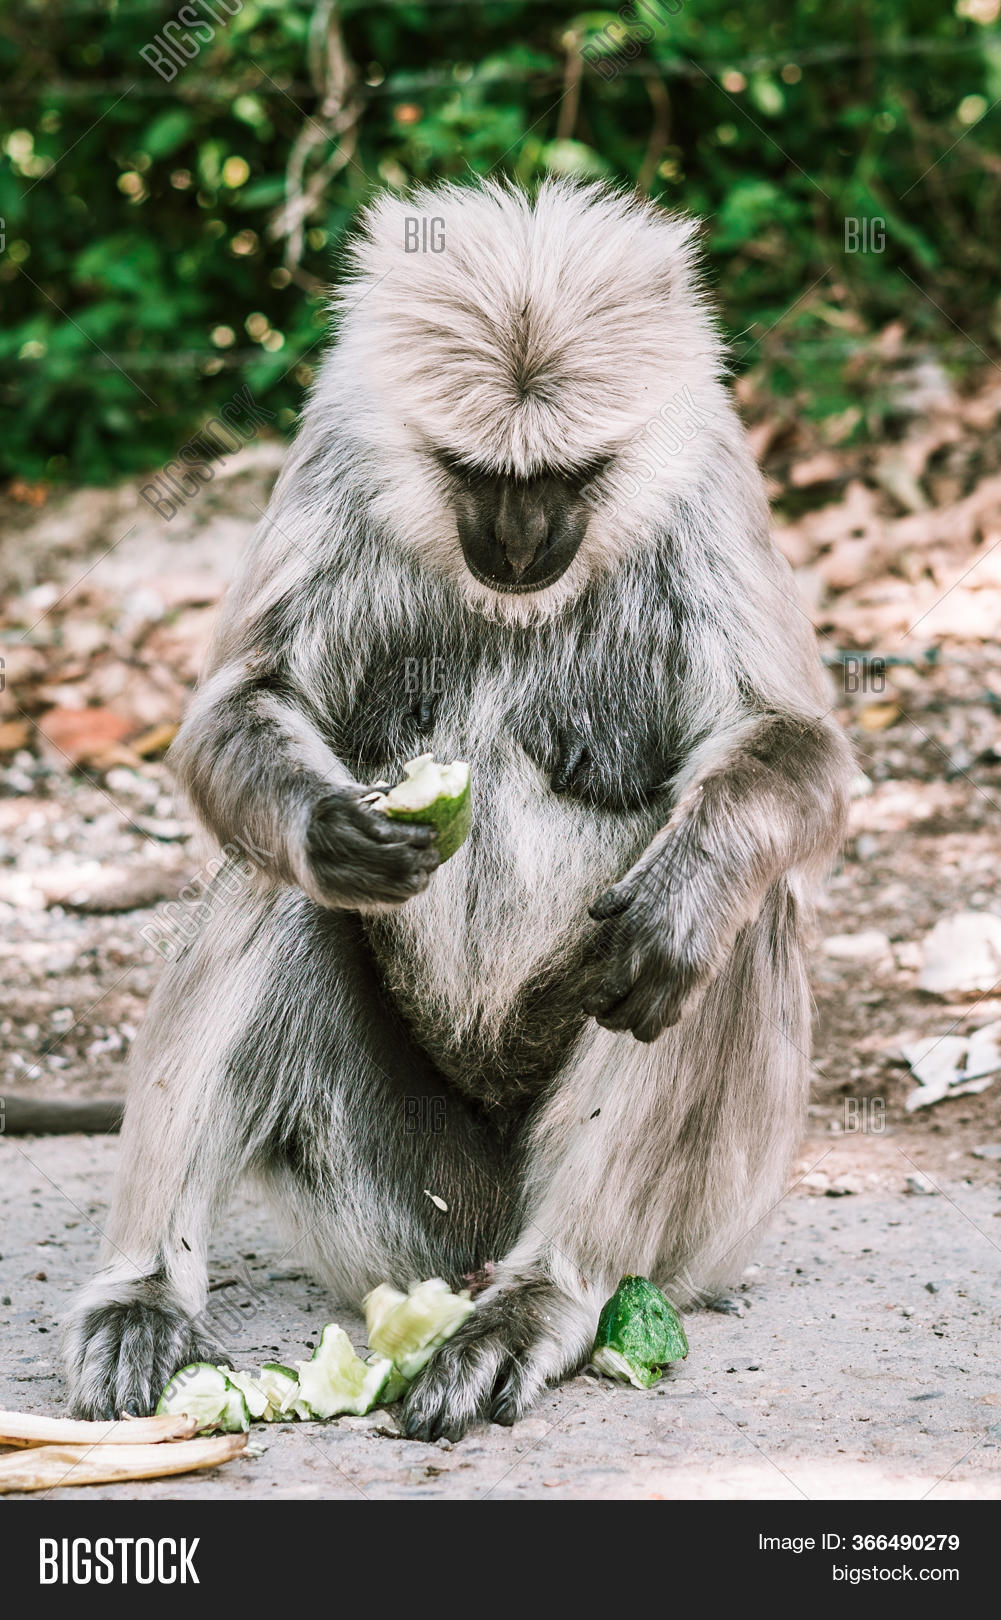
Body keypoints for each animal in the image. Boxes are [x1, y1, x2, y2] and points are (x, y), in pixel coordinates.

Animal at [63, 179, 852, 1441]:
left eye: (568, 477)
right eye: (477, 474)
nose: (521, 541)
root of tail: (477, 1244)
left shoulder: (709, 471)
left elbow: (795, 748)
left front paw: (685, 892)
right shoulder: (339, 451)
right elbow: (245, 705)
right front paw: (331, 832)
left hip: (703, 1232)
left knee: (710, 931)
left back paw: (540, 1299)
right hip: (390, 1216)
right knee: (266, 883)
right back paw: (145, 1292)